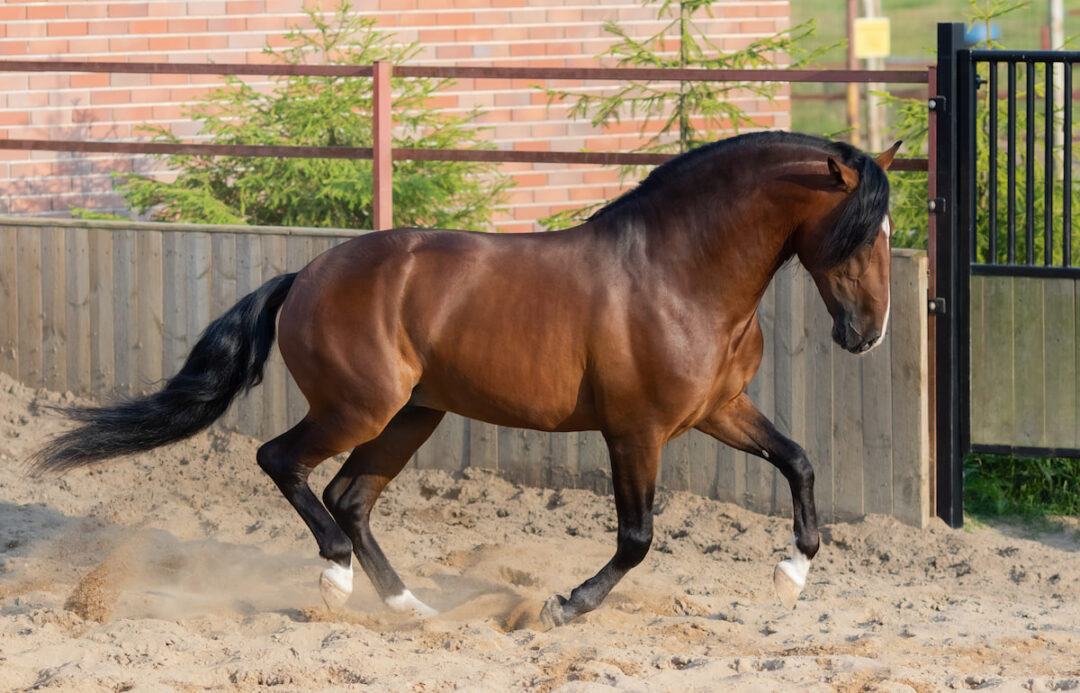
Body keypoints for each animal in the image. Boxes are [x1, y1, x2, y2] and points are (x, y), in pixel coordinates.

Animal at [32, 131, 900, 627]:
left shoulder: (719, 407)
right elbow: (638, 537)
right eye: (856, 230)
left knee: (349, 496)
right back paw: (336, 583)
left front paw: (792, 575)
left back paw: (409, 604)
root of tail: (305, 274)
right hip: (361, 406)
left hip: (413, 415)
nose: (866, 334)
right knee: (283, 462)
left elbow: (799, 460)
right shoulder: (635, 429)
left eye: (887, 232)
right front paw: (563, 605)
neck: (675, 271)